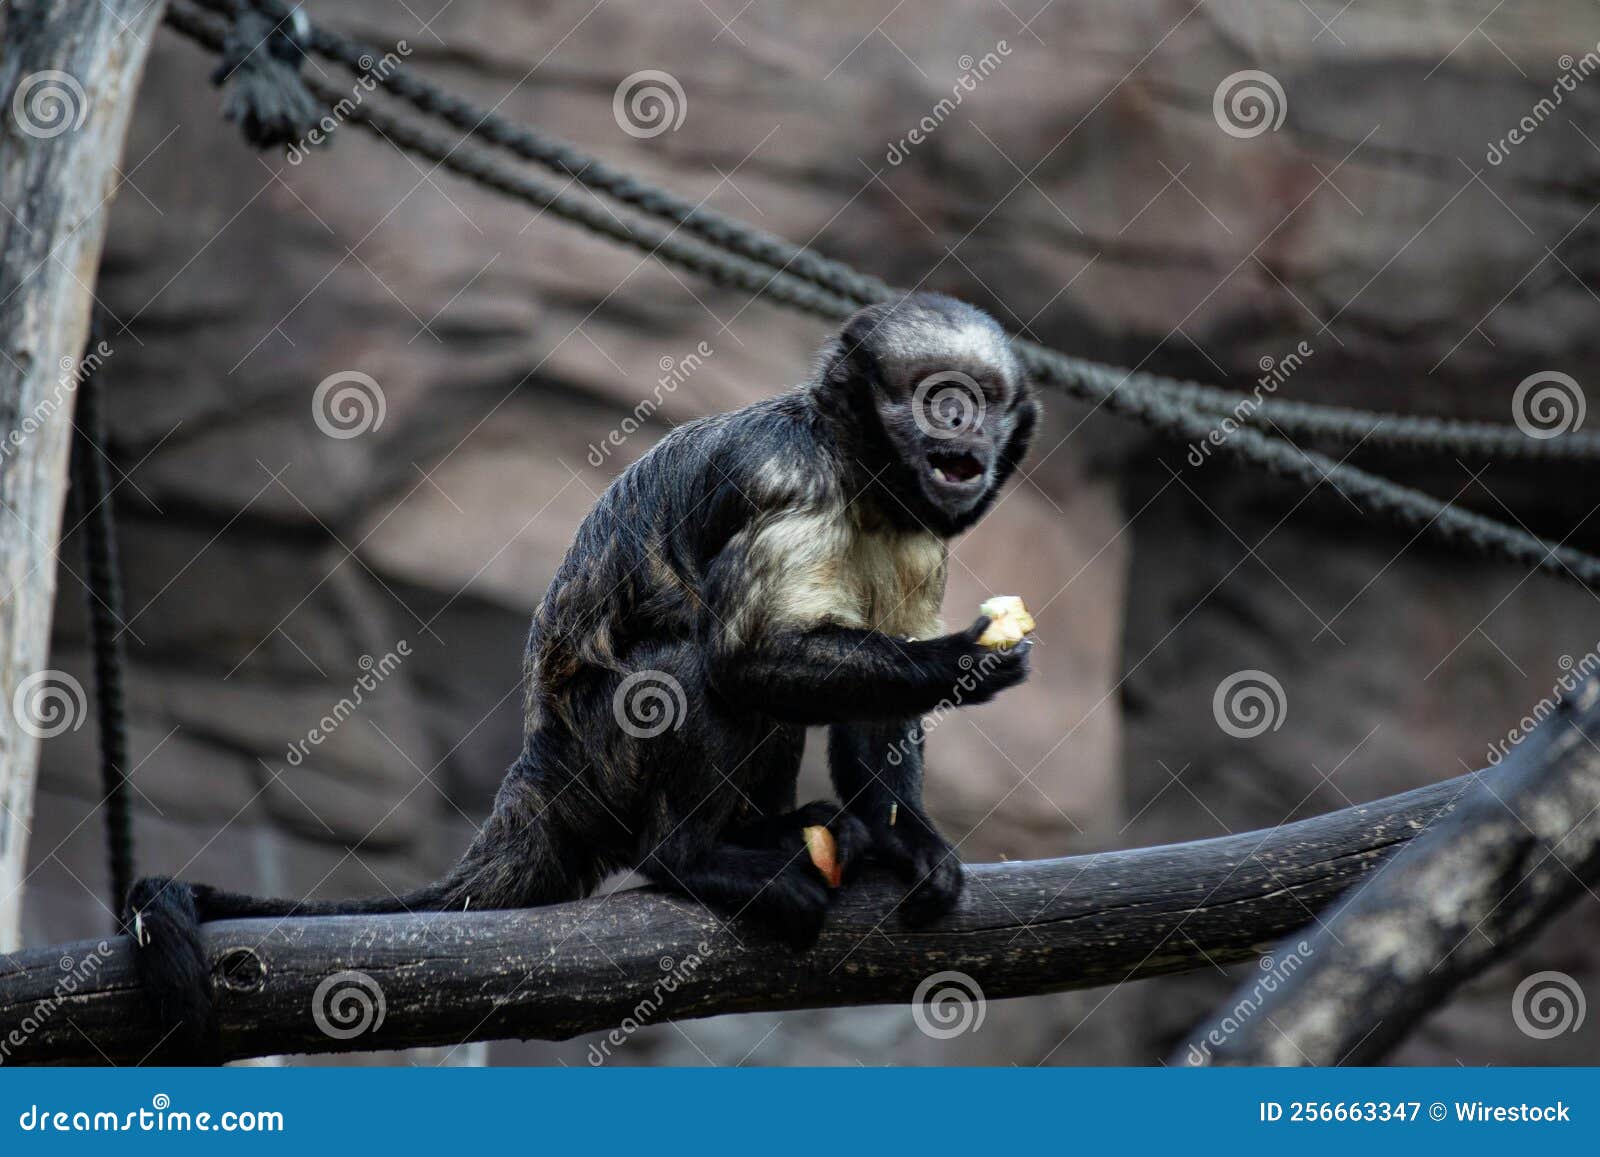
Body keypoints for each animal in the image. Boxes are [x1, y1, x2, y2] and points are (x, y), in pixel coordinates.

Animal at [125, 292, 1039, 1060]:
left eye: (980, 396)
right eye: (934, 393)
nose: (961, 418)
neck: (858, 478)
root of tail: (539, 769)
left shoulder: (920, 534)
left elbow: (875, 710)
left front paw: (905, 839)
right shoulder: (783, 480)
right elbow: (745, 659)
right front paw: (963, 658)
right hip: (600, 760)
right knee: (687, 668)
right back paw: (693, 857)